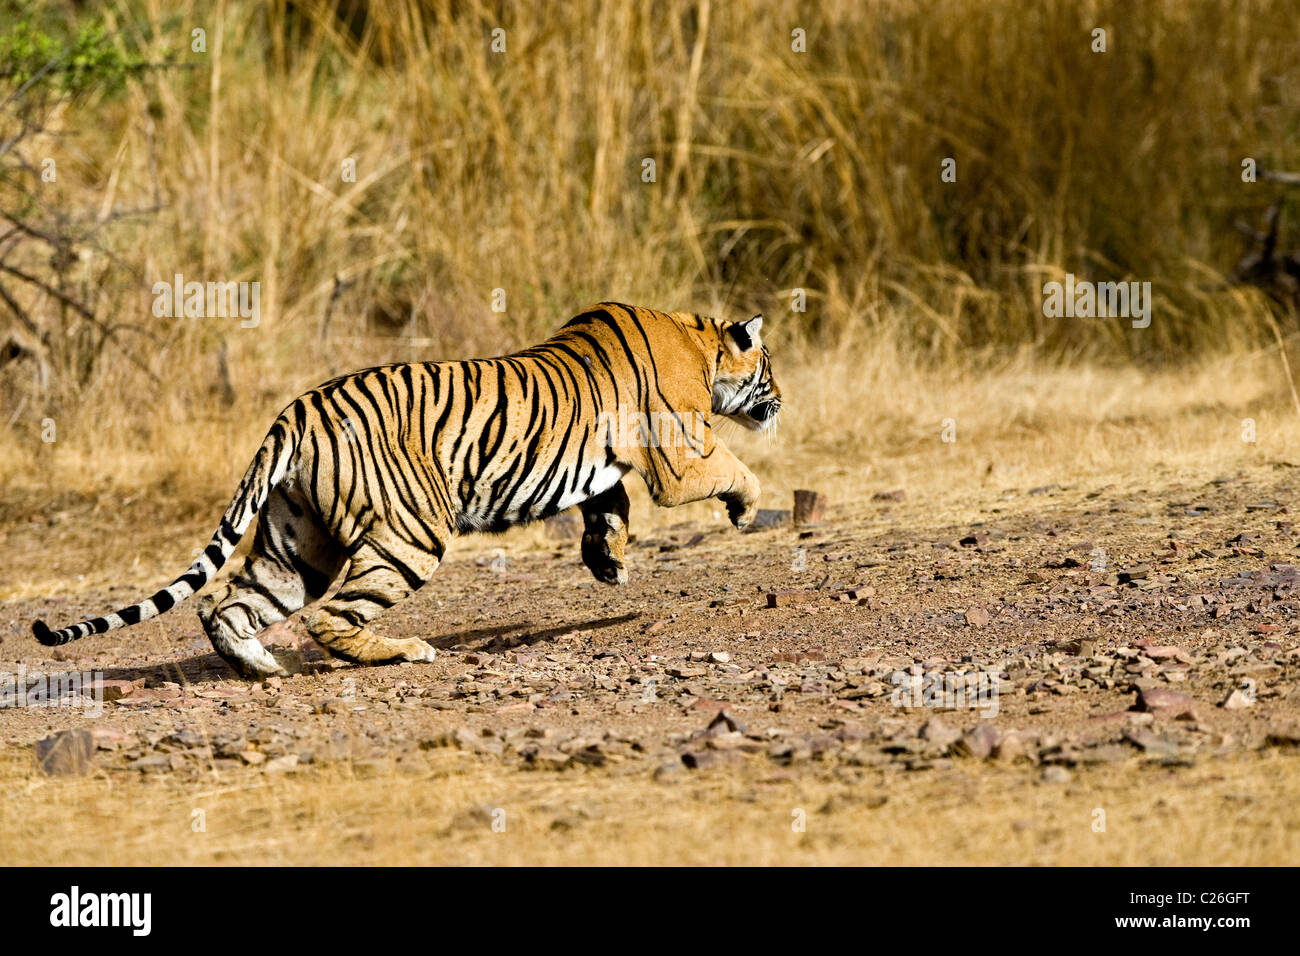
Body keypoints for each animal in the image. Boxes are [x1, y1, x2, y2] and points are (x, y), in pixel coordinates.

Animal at [33, 302, 782, 679]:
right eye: (769, 369)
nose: (780, 402)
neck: (701, 343)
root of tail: (293, 412)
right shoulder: (678, 456)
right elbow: (731, 468)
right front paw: (747, 508)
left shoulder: (603, 466)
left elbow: (610, 507)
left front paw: (608, 563)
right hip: (410, 536)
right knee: (330, 618)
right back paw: (404, 652)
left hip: (297, 545)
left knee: (226, 606)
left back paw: (263, 667)